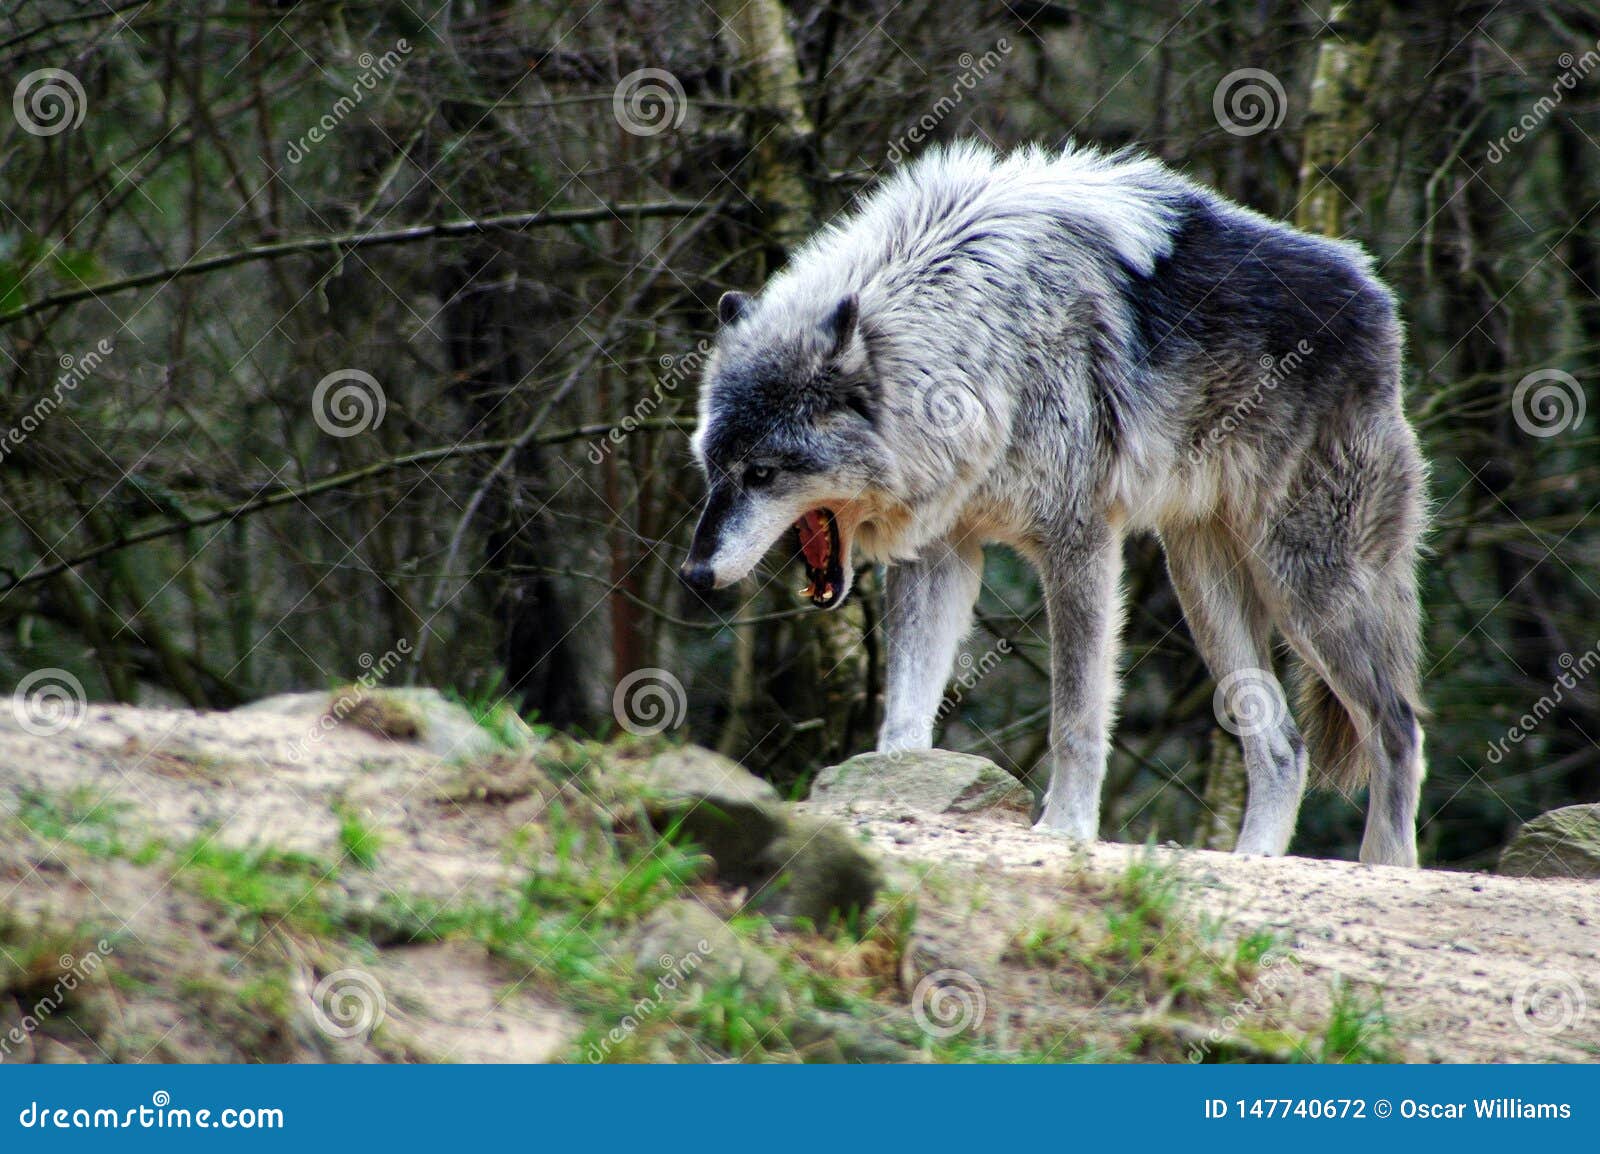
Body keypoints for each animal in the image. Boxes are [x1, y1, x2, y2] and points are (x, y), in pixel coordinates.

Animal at [680, 141, 1428, 867]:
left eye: (762, 472)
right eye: (713, 470)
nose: (694, 575)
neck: (984, 345)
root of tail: (1377, 293)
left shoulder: (1080, 543)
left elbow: (1075, 715)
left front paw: (1066, 827)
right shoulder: (939, 554)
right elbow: (906, 710)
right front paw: (892, 784)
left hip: (1306, 585)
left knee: (1397, 727)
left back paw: (1385, 866)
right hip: (1204, 588)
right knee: (1284, 749)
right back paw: (1253, 862)